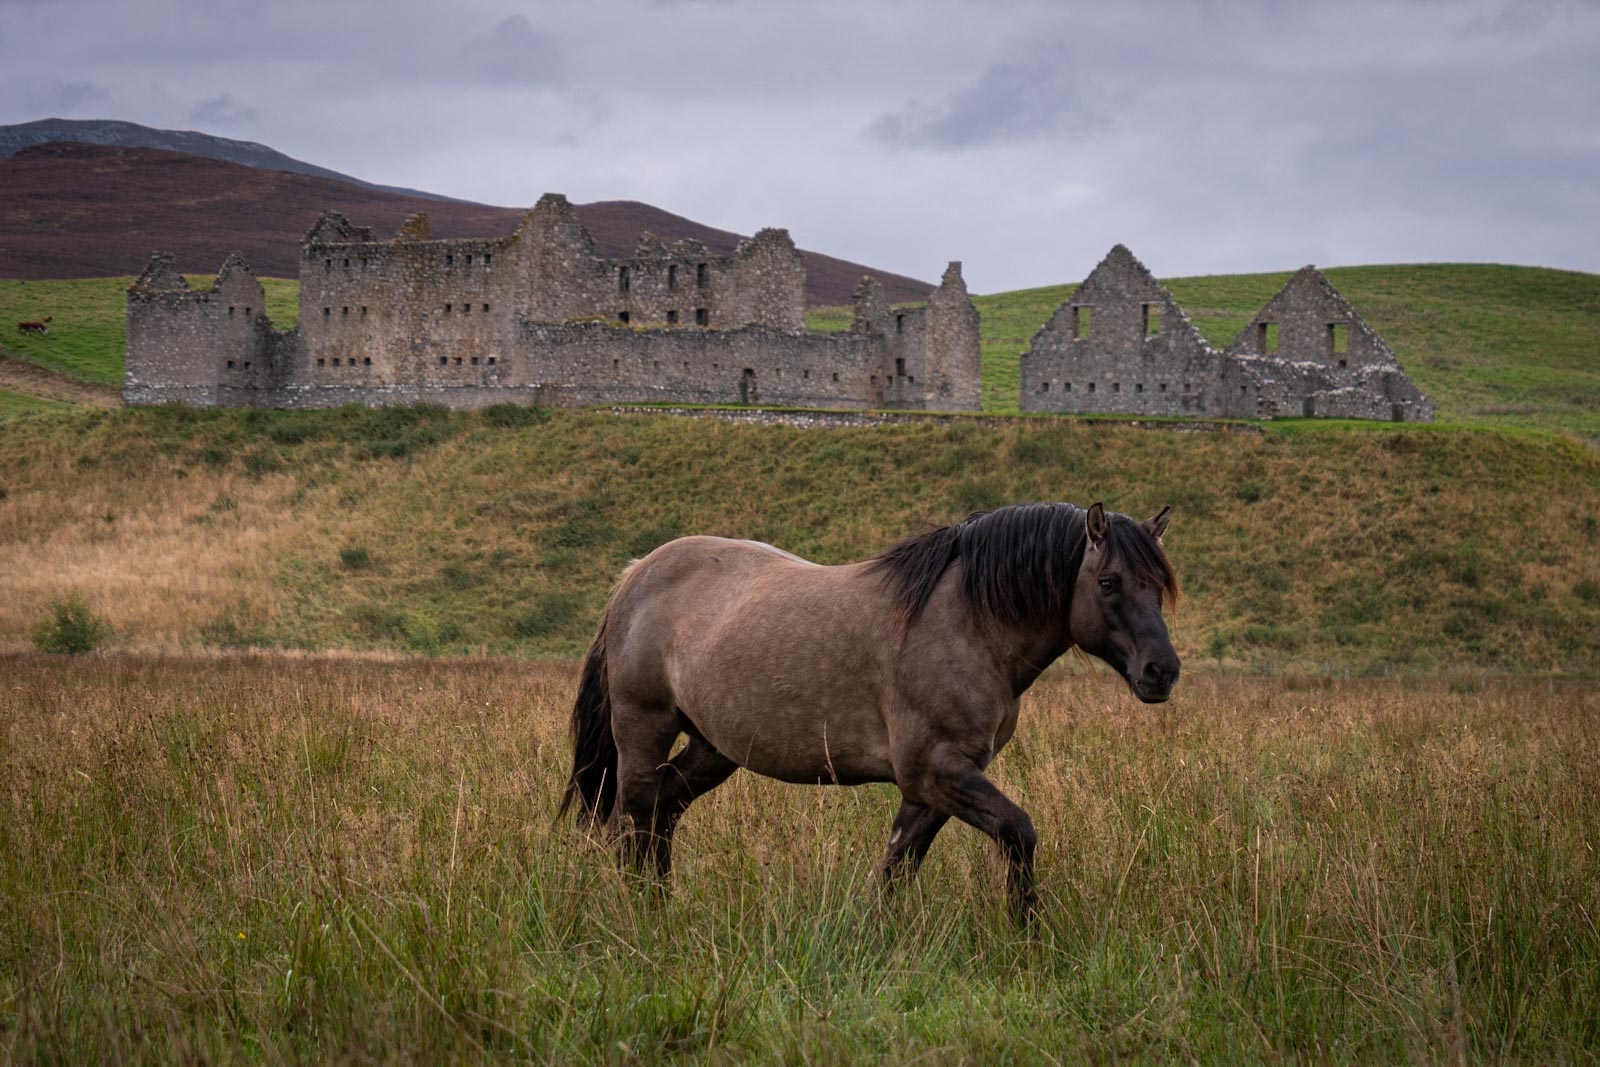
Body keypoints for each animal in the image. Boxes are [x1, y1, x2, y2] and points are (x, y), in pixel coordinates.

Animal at [559, 501, 1179, 919]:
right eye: (1108, 582)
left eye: (1159, 584)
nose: (1162, 671)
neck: (966, 622)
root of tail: (637, 574)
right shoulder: (936, 770)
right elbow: (1018, 833)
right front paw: (1028, 934)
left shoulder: (933, 786)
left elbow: (896, 868)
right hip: (643, 731)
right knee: (631, 820)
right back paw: (638, 914)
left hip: (713, 748)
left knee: (661, 815)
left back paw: (661, 906)